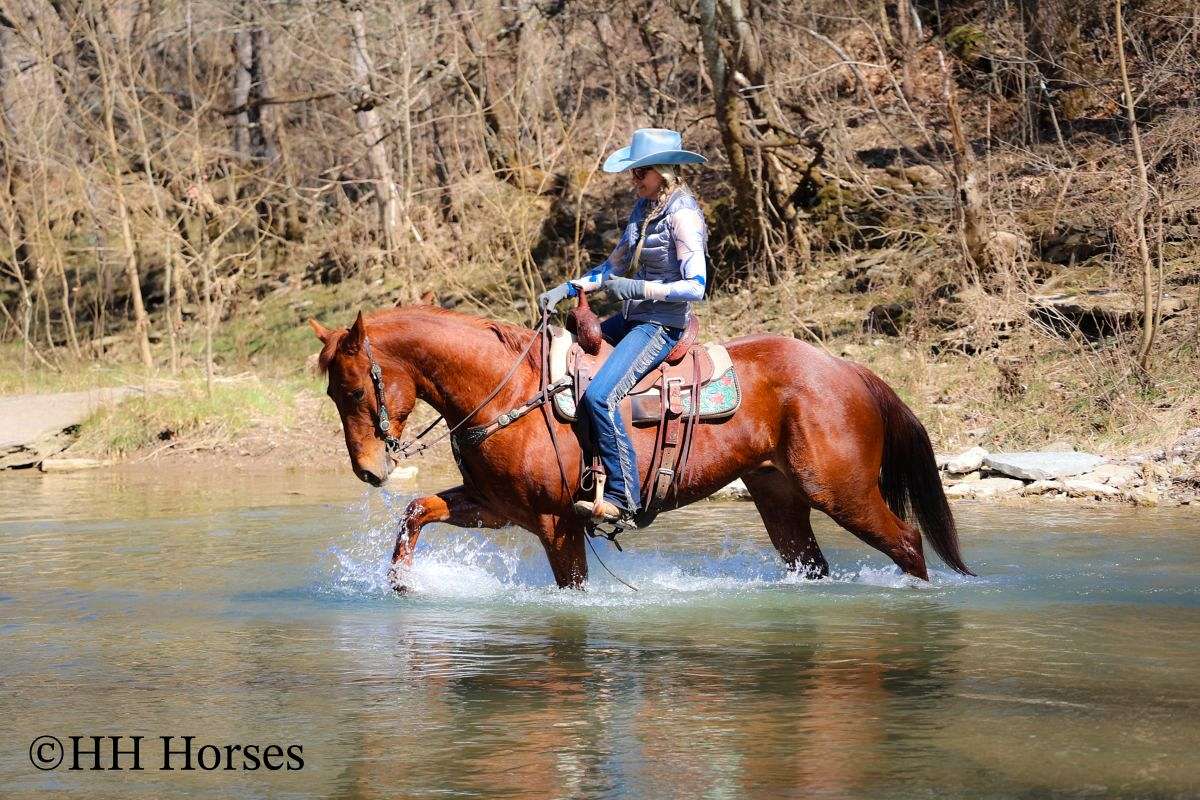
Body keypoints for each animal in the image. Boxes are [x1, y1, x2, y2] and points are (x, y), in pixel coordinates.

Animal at [310, 304, 972, 590]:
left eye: (352, 389)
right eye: (333, 392)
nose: (368, 470)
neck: (508, 391)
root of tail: (845, 368)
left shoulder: (556, 523)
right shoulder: (494, 508)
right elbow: (415, 511)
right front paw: (400, 584)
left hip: (843, 491)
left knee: (908, 543)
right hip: (780, 498)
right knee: (814, 563)